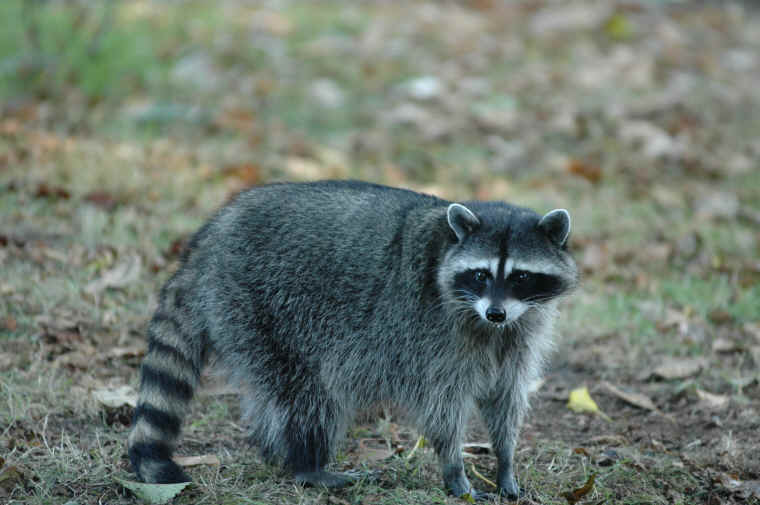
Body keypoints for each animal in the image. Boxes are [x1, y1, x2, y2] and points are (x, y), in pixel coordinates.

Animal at [127, 180, 577, 500]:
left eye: (521, 276)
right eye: (481, 274)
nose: (495, 312)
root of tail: (210, 237)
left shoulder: (520, 333)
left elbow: (506, 397)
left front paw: (505, 460)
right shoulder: (435, 334)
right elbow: (442, 406)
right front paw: (456, 471)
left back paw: (278, 453)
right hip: (258, 302)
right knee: (309, 394)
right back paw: (308, 465)